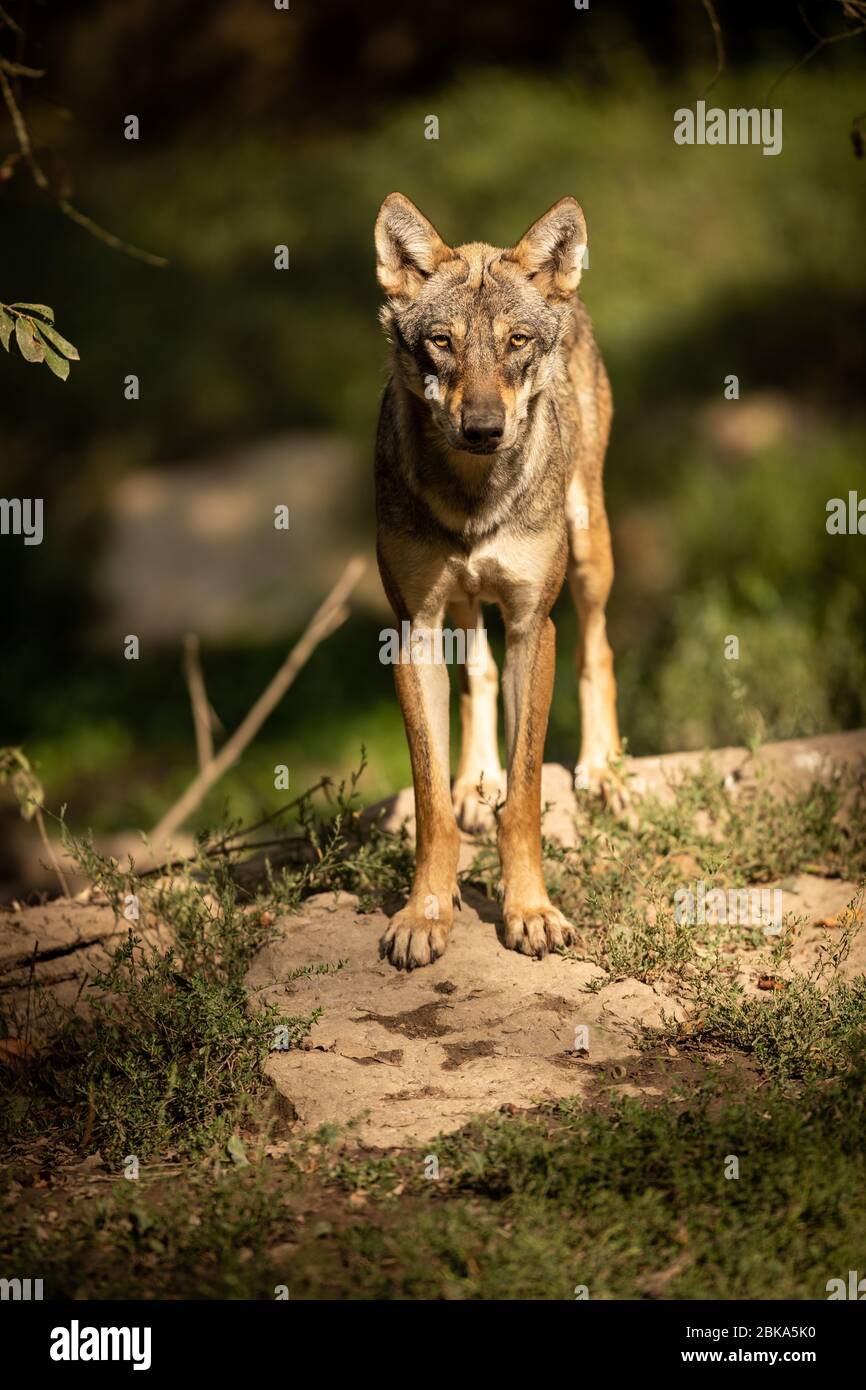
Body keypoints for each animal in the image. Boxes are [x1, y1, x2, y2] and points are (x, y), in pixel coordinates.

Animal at [374, 192, 621, 969]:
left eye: (515, 342)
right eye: (442, 343)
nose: (484, 428)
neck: (474, 499)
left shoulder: (530, 626)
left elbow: (527, 794)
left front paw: (531, 913)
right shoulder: (414, 630)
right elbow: (430, 801)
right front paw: (425, 913)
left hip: (590, 551)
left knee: (600, 649)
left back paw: (605, 770)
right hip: (460, 602)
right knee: (475, 676)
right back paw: (475, 778)